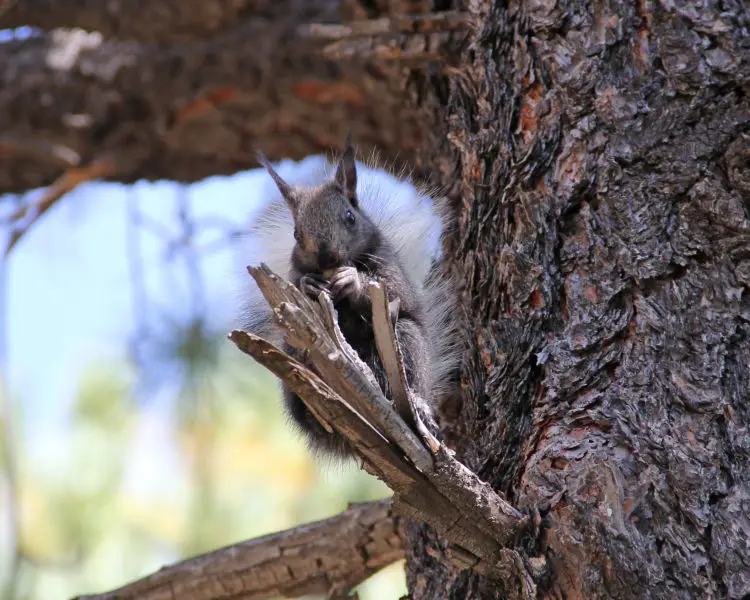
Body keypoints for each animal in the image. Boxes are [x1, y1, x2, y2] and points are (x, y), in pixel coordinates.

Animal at [241, 137, 461, 460]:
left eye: (349, 217)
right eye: (296, 233)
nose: (327, 257)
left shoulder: (388, 264)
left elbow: (397, 293)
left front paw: (353, 281)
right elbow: (284, 309)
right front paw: (309, 284)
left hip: (406, 345)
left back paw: (419, 404)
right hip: (295, 359)